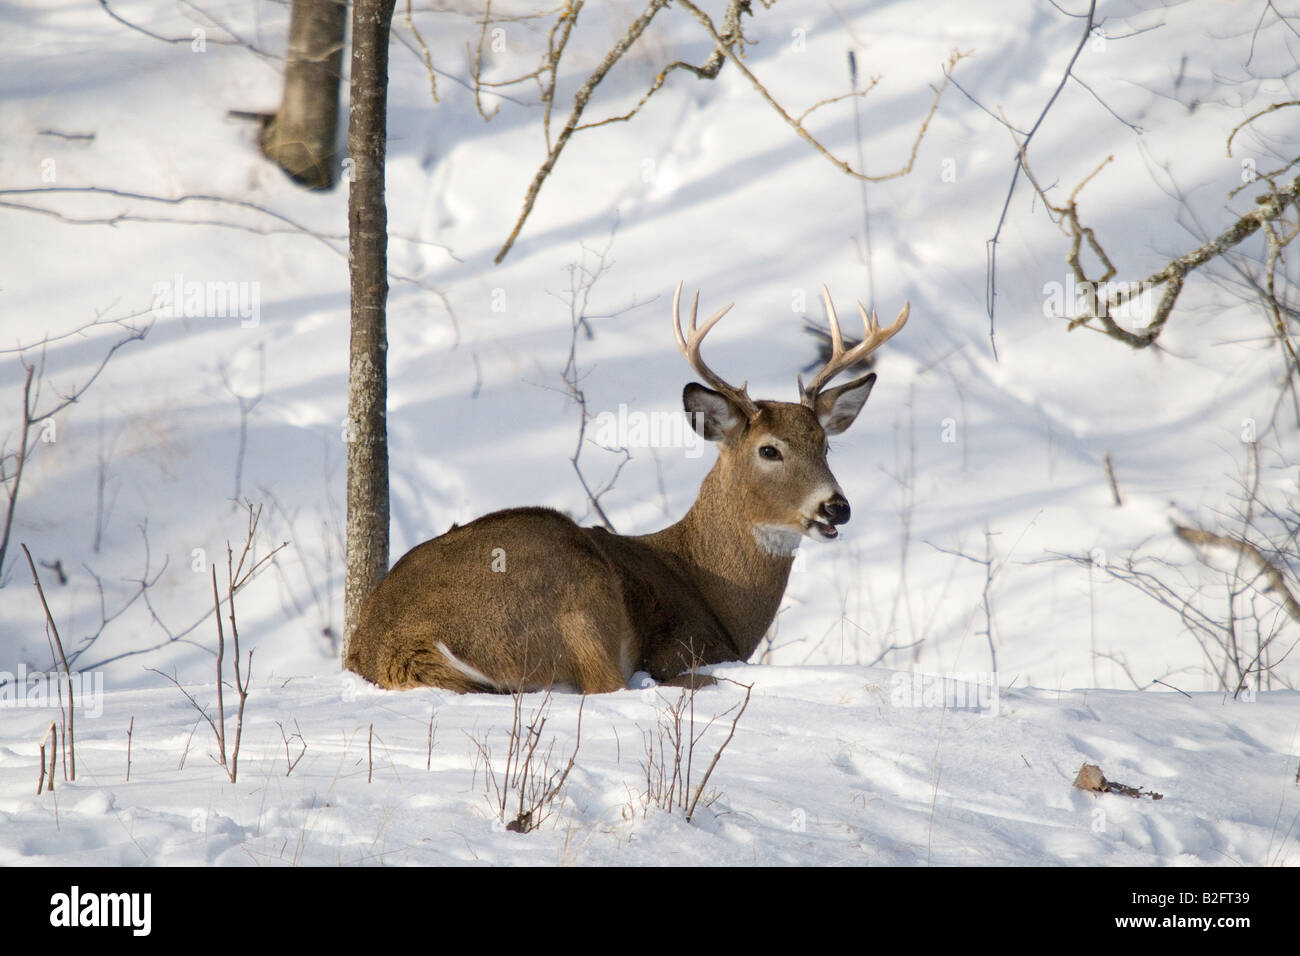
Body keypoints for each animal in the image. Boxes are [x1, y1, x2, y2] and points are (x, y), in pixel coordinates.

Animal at [344, 282, 910, 694]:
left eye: (825, 445)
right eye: (769, 450)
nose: (836, 508)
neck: (713, 593)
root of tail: (400, 647)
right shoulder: (679, 648)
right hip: (575, 596)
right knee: (608, 685)